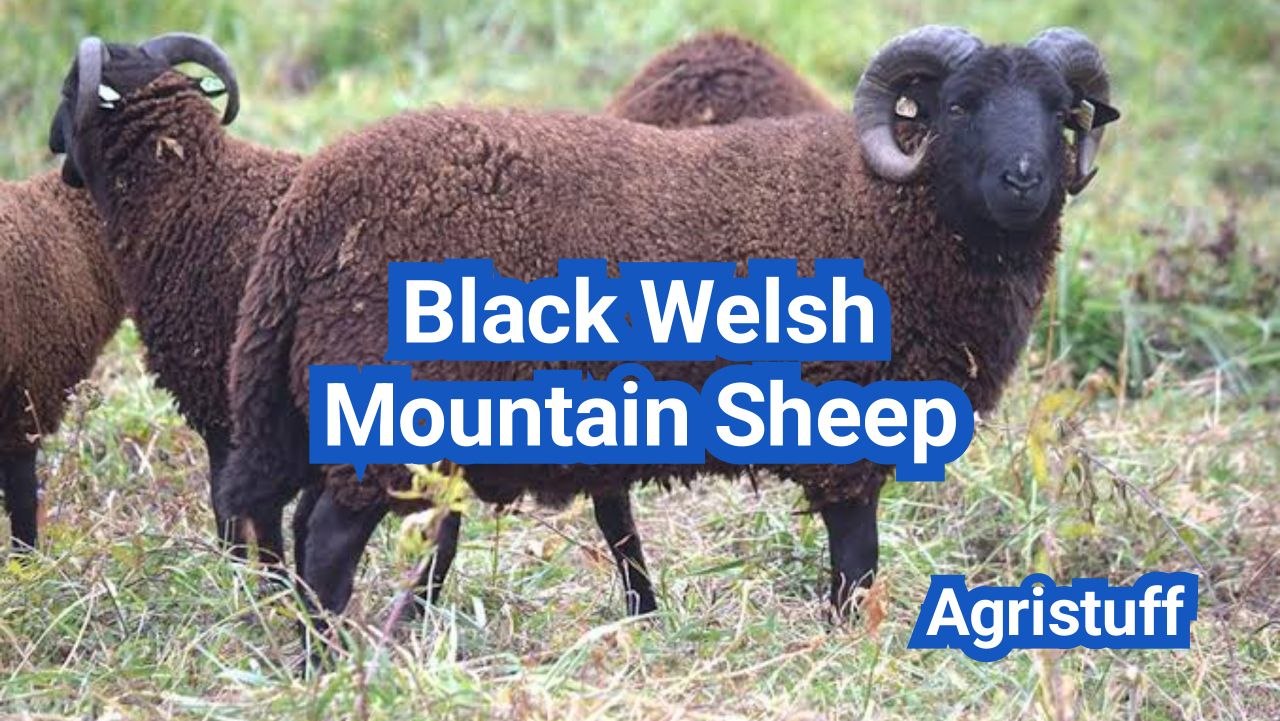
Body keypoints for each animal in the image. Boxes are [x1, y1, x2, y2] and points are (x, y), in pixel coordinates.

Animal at [46, 33, 305, 563]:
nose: (52, 142)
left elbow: (227, 500)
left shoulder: (213, 391)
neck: (189, 190)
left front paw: (239, 571)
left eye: (67, 90)